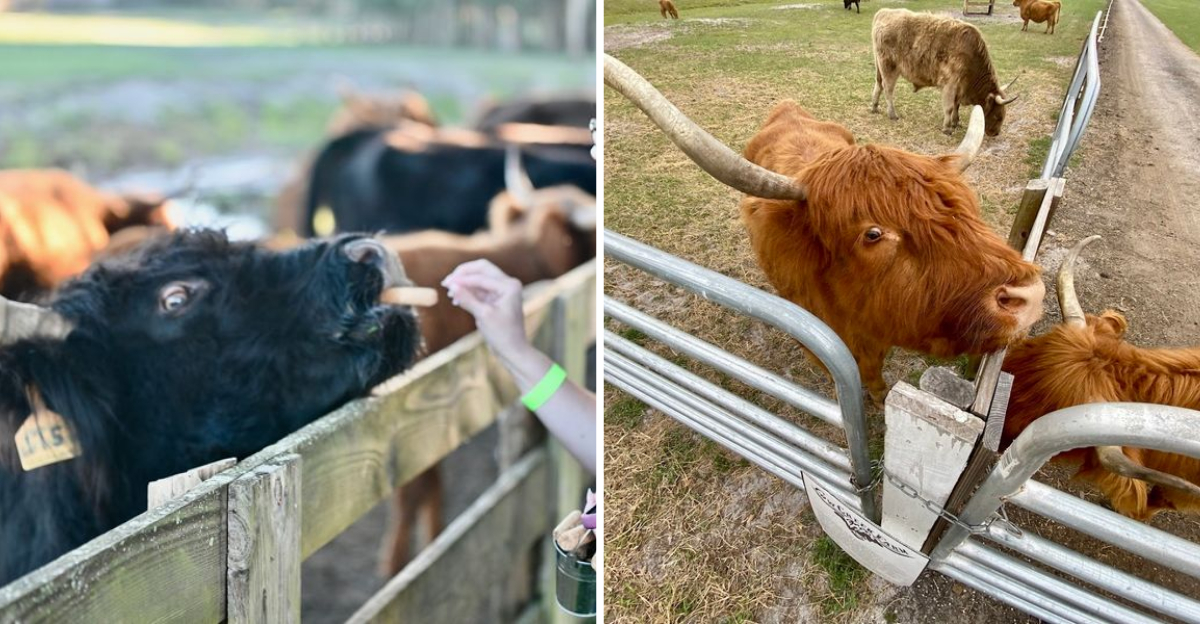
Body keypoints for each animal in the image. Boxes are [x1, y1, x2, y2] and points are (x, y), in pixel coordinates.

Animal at [870, 9, 1020, 136]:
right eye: (998, 116)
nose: (996, 133)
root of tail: (883, 12)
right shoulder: (950, 84)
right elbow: (949, 107)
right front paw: (947, 128)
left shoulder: (959, 88)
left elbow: (956, 105)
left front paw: (956, 122)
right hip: (889, 67)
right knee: (888, 89)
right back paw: (892, 114)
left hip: (879, 67)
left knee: (878, 85)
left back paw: (874, 107)